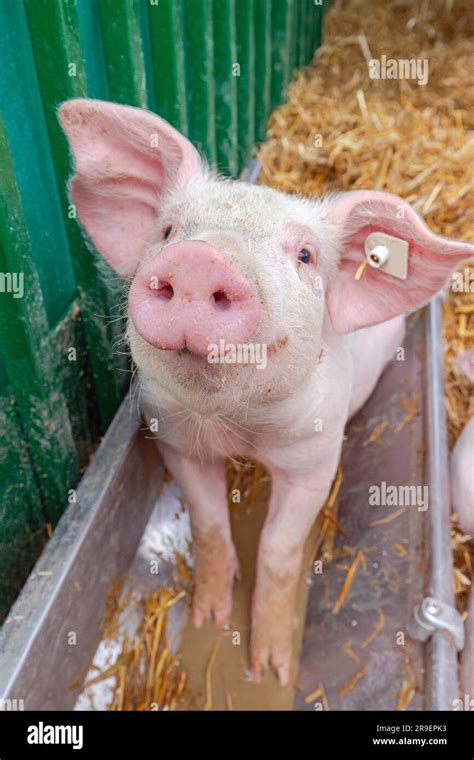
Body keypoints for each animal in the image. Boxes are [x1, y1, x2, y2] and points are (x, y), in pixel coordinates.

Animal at [58, 99, 474, 685]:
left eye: (304, 256)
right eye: (168, 230)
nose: (200, 259)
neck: (240, 429)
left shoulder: (315, 461)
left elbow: (279, 548)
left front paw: (271, 669)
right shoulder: (173, 438)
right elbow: (208, 521)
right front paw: (208, 617)